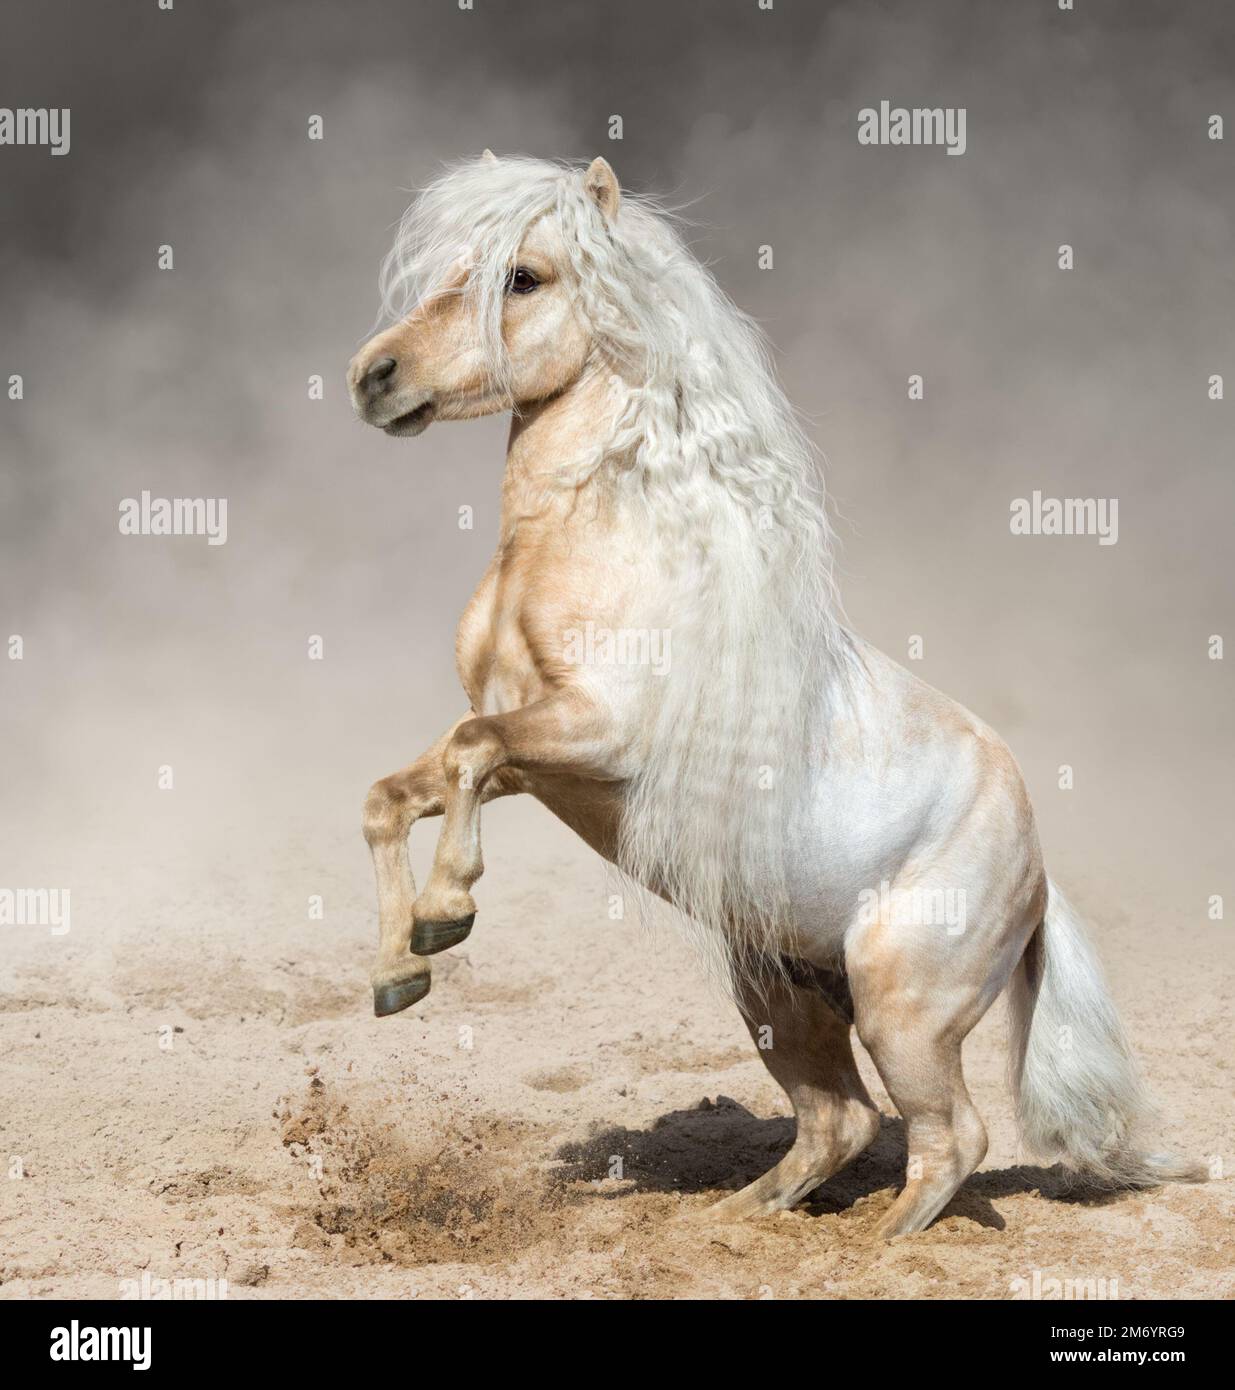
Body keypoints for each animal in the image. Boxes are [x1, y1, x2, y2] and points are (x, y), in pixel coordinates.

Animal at [346, 152, 1201, 1237]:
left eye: (523, 278)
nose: (372, 378)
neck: (616, 539)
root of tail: (1038, 876)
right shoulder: (534, 763)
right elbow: (400, 789)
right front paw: (398, 971)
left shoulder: (597, 738)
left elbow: (464, 748)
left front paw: (445, 912)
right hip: (777, 987)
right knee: (838, 1121)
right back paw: (730, 1218)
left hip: (899, 1007)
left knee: (950, 1137)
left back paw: (880, 1247)